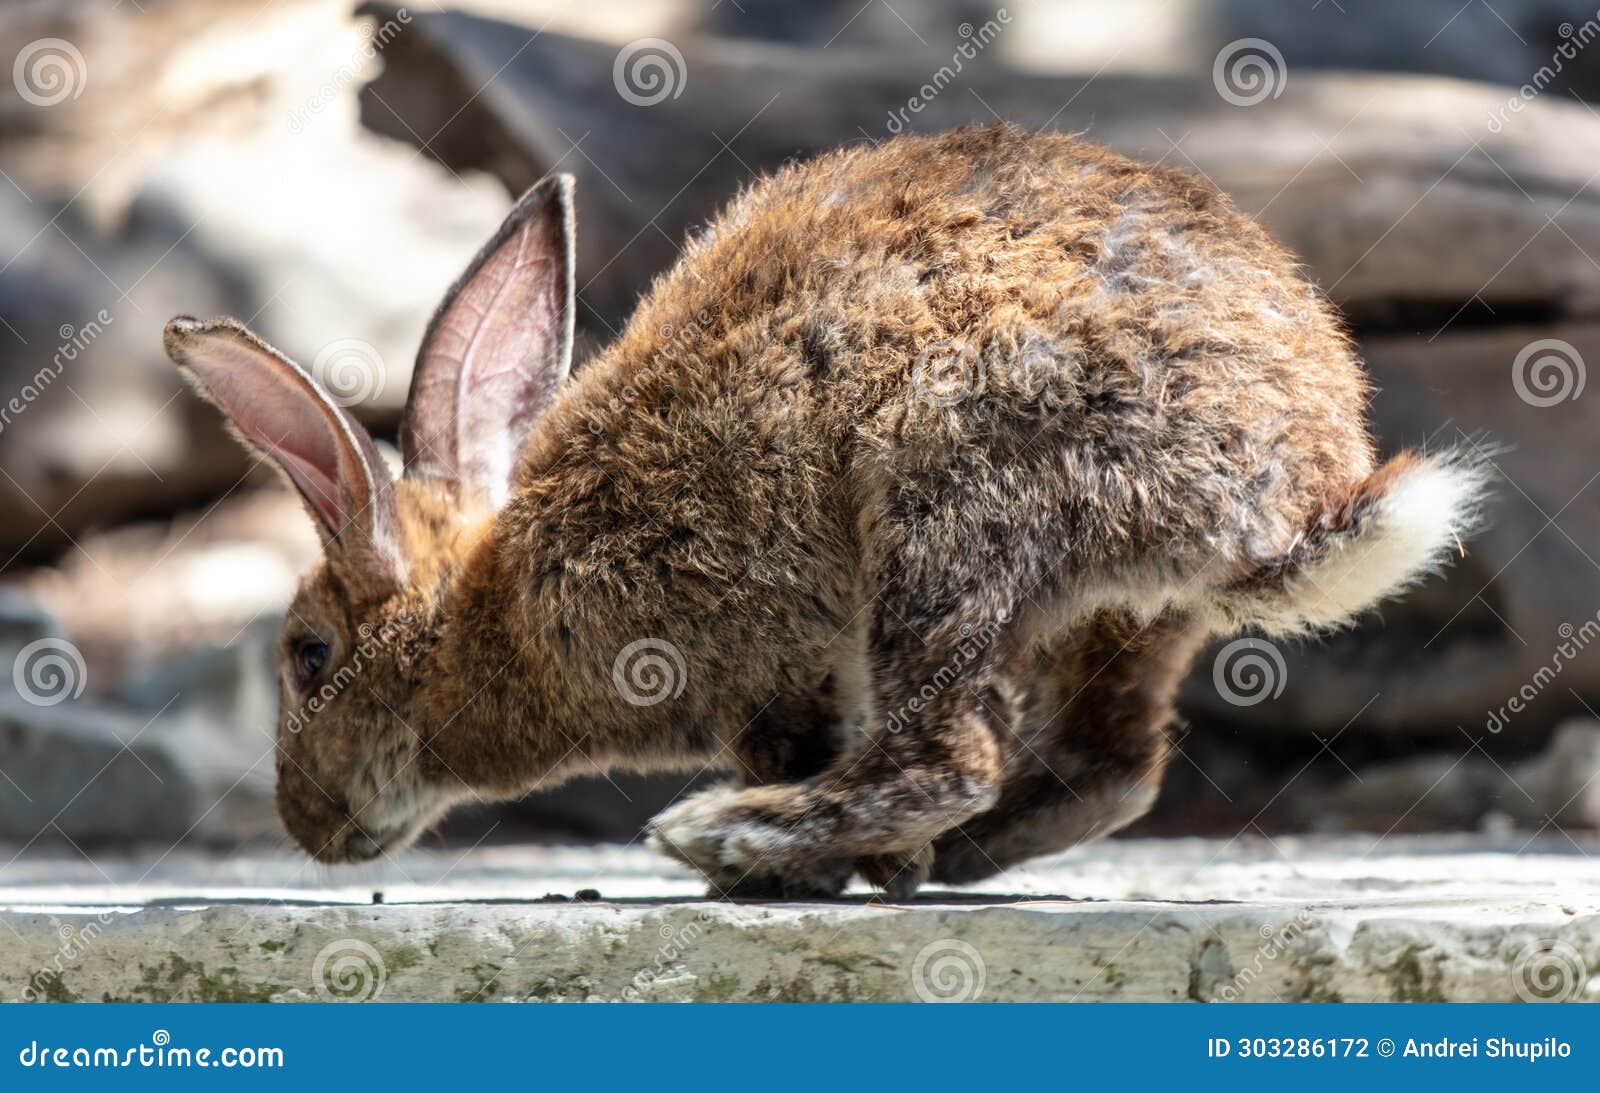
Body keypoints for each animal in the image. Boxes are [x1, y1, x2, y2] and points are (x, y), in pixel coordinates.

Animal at [163, 123, 1486, 899]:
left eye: (307, 655)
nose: (308, 825)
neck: (484, 613)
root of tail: (1286, 496)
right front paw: (861, 876)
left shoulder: (757, 657)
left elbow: (800, 735)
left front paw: (782, 876)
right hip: (1119, 617)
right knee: (1110, 764)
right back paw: (945, 863)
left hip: (947, 505)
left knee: (954, 752)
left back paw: (731, 836)